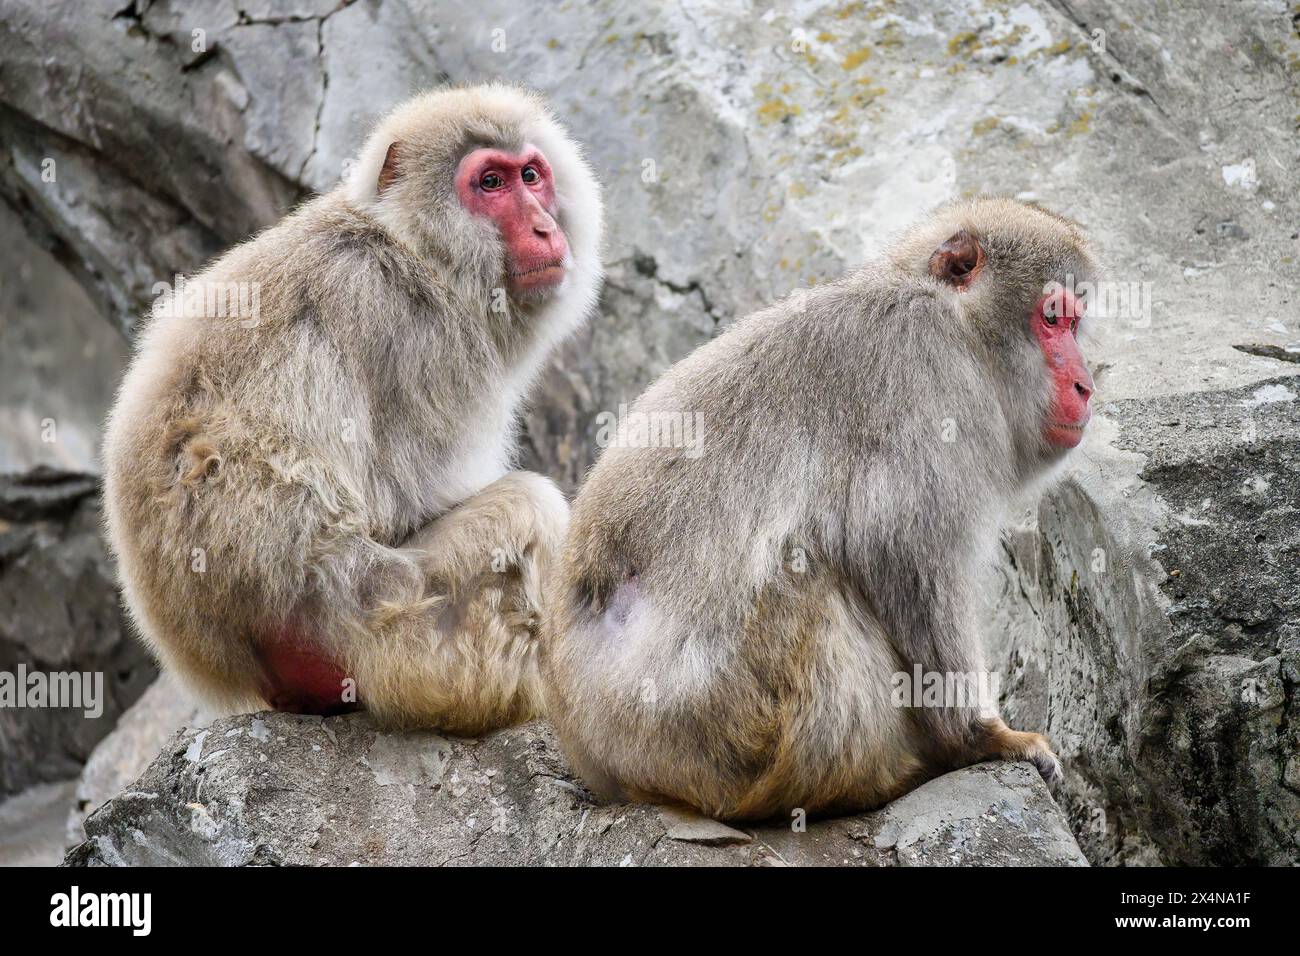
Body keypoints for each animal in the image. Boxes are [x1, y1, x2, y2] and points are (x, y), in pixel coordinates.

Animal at [102, 85, 603, 734]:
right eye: (491, 182)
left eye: (532, 176)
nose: (545, 227)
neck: (413, 246)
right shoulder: (424, 338)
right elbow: (400, 501)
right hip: (397, 632)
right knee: (527, 508)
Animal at [540, 197, 1098, 821]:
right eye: (1052, 318)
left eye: (1073, 323)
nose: (1086, 385)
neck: (959, 326)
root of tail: (594, 748)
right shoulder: (930, 375)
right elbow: (903, 549)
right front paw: (982, 737)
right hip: (723, 730)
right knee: (806, 572)